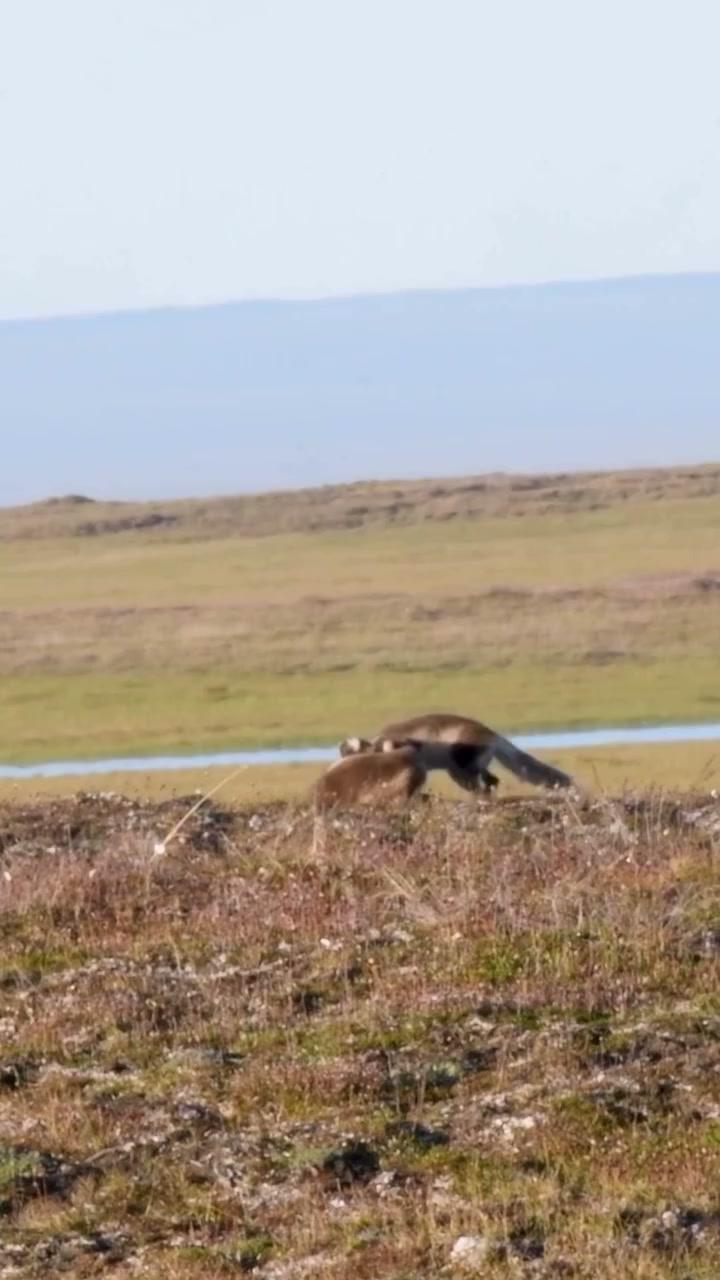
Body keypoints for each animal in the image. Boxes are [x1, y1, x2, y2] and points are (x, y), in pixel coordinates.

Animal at [340, 712, 574, 793]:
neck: (376, 744)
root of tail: (491, 734)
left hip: (462, 762)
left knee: (485, 781)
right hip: (464, 767)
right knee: (490, 780)